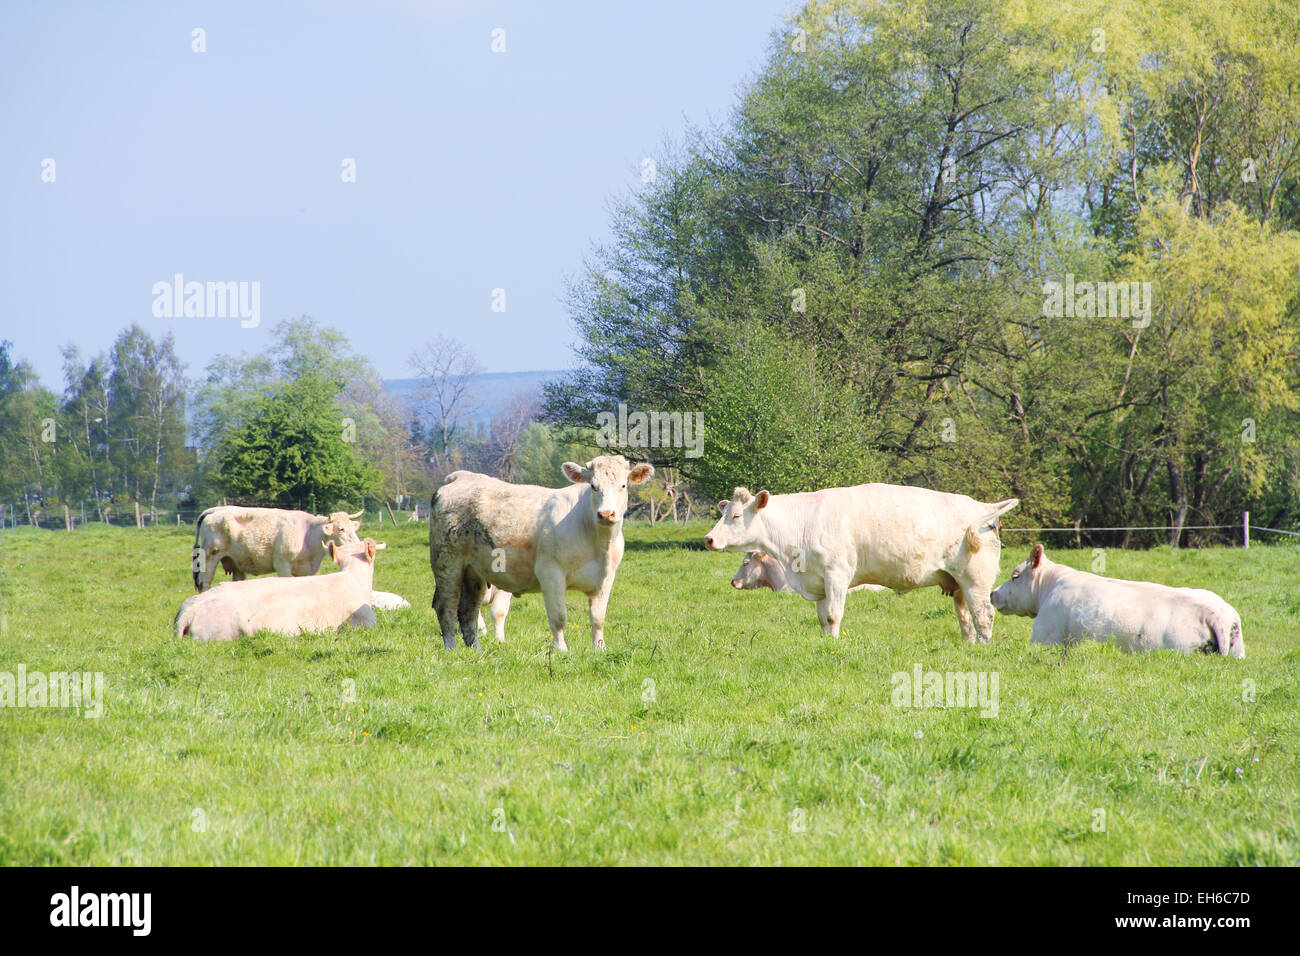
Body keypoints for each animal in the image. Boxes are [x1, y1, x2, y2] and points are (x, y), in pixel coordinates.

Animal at [192, 506, 363, 591]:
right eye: (341, 529)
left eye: (353, 527)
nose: (358, 543)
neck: (309, 535)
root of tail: (215, 511)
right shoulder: (283, 565)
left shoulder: (311, 570)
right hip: (210, 557)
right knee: (205, 583)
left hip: (237, 564)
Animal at [428, 455, 654, 651]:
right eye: (593, 486)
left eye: (623, 486)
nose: (606, 514)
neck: (597, 542)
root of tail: (459, 477)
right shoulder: (551, 572)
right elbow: (559, 617)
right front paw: (561, 649)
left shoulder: (605, 578)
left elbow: (598, 619)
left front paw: (600, 649)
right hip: (447, 564)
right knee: (446, 607)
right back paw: (451, 648)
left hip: (474, 572)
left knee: (468, 611)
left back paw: (476, 650)